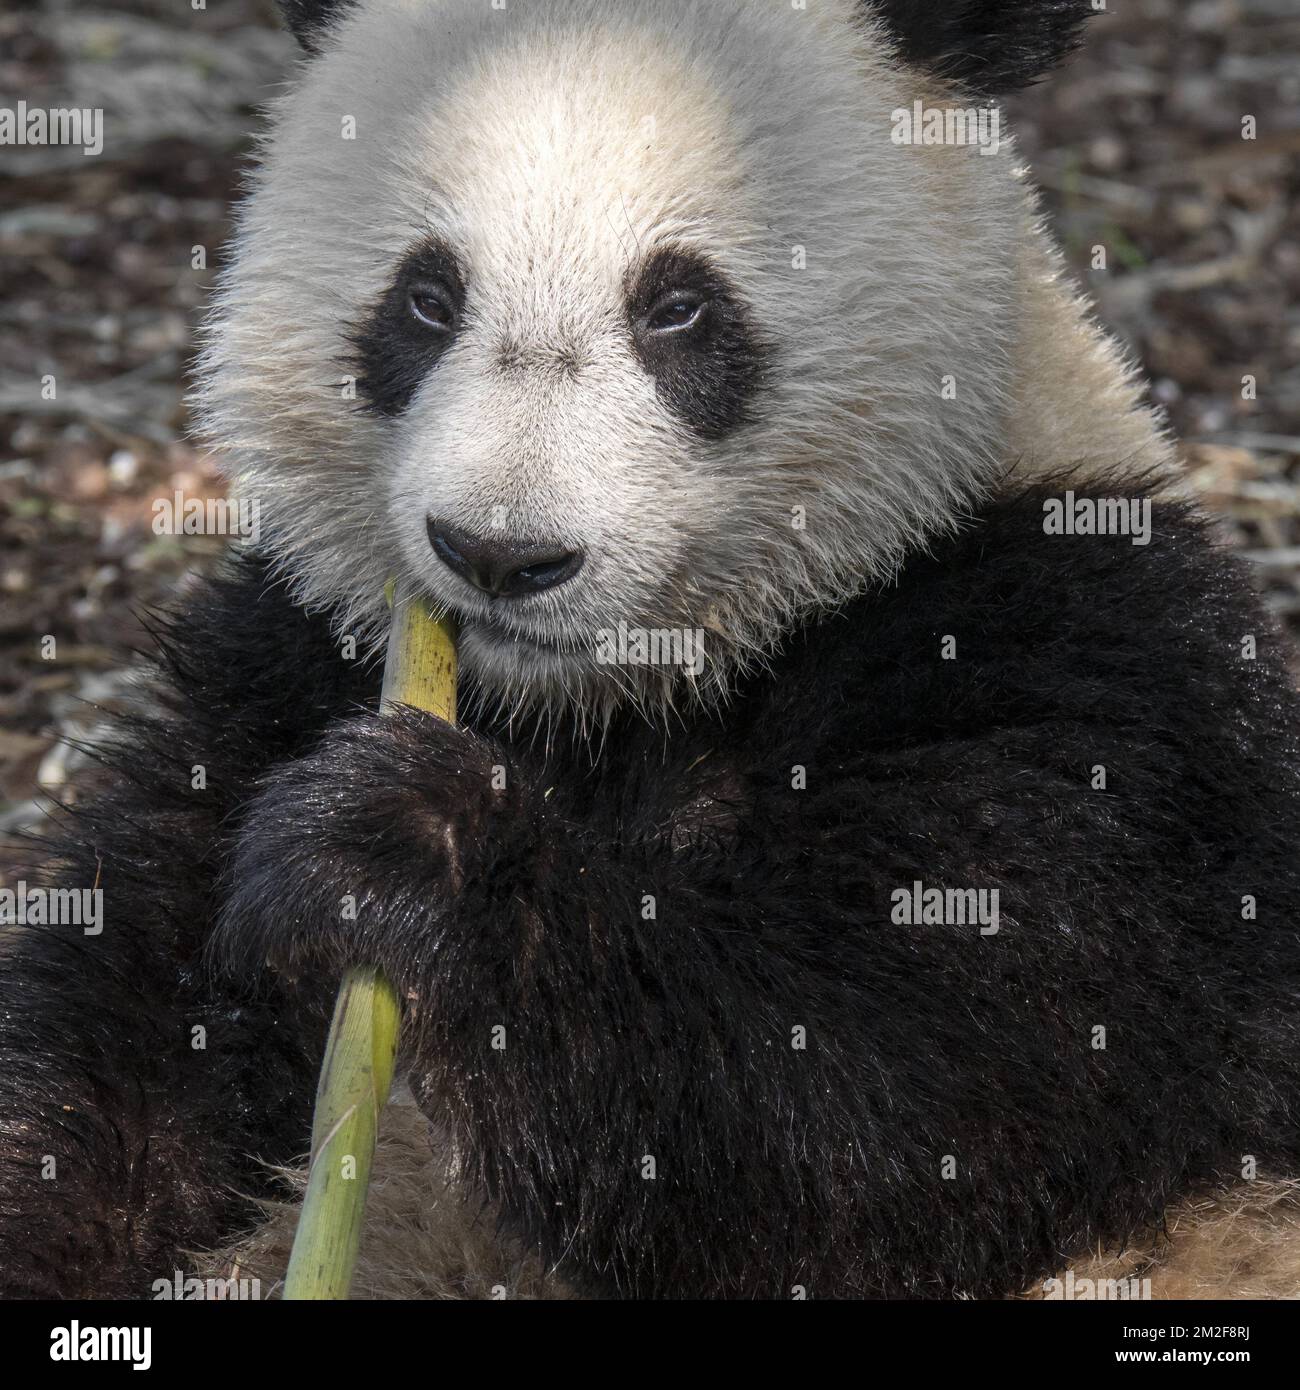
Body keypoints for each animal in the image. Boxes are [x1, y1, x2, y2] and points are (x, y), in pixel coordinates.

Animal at [3, 0, 1299, 1301]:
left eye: (676, 307)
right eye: (427, 298)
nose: (499, 553)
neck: (600, 704)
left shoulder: (1081, 663)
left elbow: (887, 1097)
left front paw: (403, 846)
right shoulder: (285, 659)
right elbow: (135, 1038)